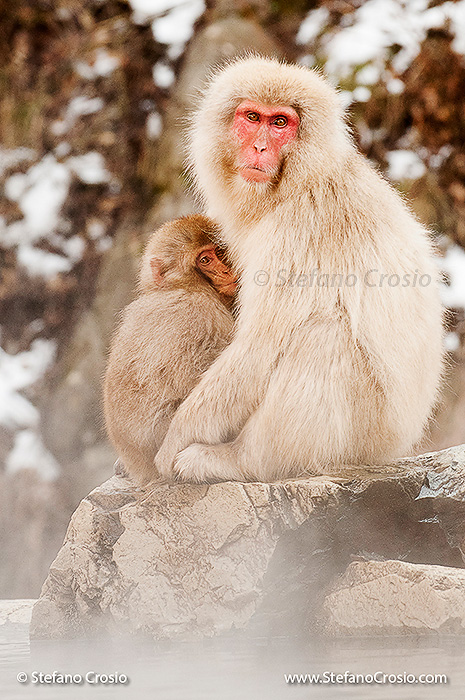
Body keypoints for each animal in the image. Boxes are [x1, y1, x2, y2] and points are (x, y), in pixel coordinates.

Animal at [154, 56, 444, 484]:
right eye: (252, 116)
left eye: (280, 123)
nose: (259, 146)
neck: (292, 185)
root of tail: (399, 443)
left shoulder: (296, 231)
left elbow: (260, 346)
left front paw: (173, 441)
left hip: (365, 437)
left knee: (321, 336)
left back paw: (240, 461)